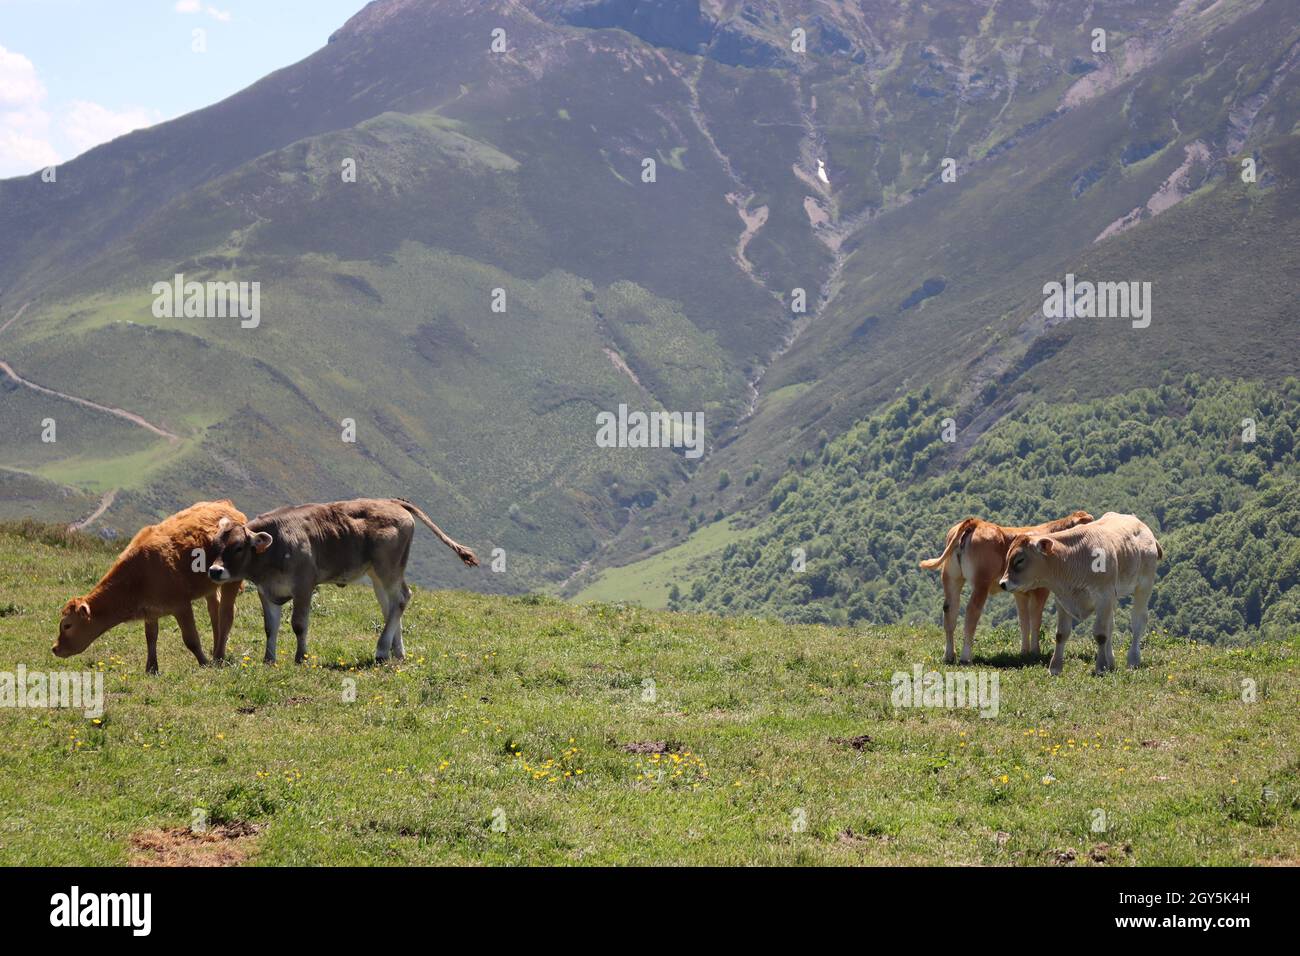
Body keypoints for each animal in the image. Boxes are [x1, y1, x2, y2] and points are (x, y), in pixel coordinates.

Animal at [54, 500, 246, 673]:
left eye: (67, 625)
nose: (54, 648)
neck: (138, 574)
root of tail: (225, 505)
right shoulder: (150, 611)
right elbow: (151, 637)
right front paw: (151, 668)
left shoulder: (181, 605)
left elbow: (190, 639)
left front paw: (203, 663)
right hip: (210, 586)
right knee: (215, 612)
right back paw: (216, 651)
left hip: (231, 581)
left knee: (226, 614)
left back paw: (218, 657)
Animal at [206, 497, 478, 664]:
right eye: (216, 544)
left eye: (239, 547)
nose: (215, 571)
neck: (276, 545)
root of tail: (391, 501)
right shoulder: (266, 590)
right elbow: (270, 627)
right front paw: (269, 660)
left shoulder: (304, 585)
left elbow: (299, 624)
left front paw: (301, 658)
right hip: (378, 573)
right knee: (391, 605)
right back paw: (397, 653)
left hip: (389, 567)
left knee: (401, 598)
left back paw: (382, 650)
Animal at [919, 510, 1094, 665]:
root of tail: (976, 522)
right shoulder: (1041, 590)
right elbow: (1035, 620)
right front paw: (1035, 652)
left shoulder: (1020, 592)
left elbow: (1024, 621)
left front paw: (1024, 652)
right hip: (981, 582)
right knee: (971, 612)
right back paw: (965, 658)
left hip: (951, 577)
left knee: (950, 611)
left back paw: (949, 656)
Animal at [998, 512, 1163, 676]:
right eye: (1007, 558)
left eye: (1020, 560)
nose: (1002, 583)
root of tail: (1140, 523)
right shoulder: (1062, 599)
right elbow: (1061, 634)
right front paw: (1055, 668)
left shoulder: (1103, 595)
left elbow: (1100, 634)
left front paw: (1101, 667)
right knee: (1111, 624)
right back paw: (1111, 662)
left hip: (1144, 586)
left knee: (1138, 621)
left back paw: (1133, 660)